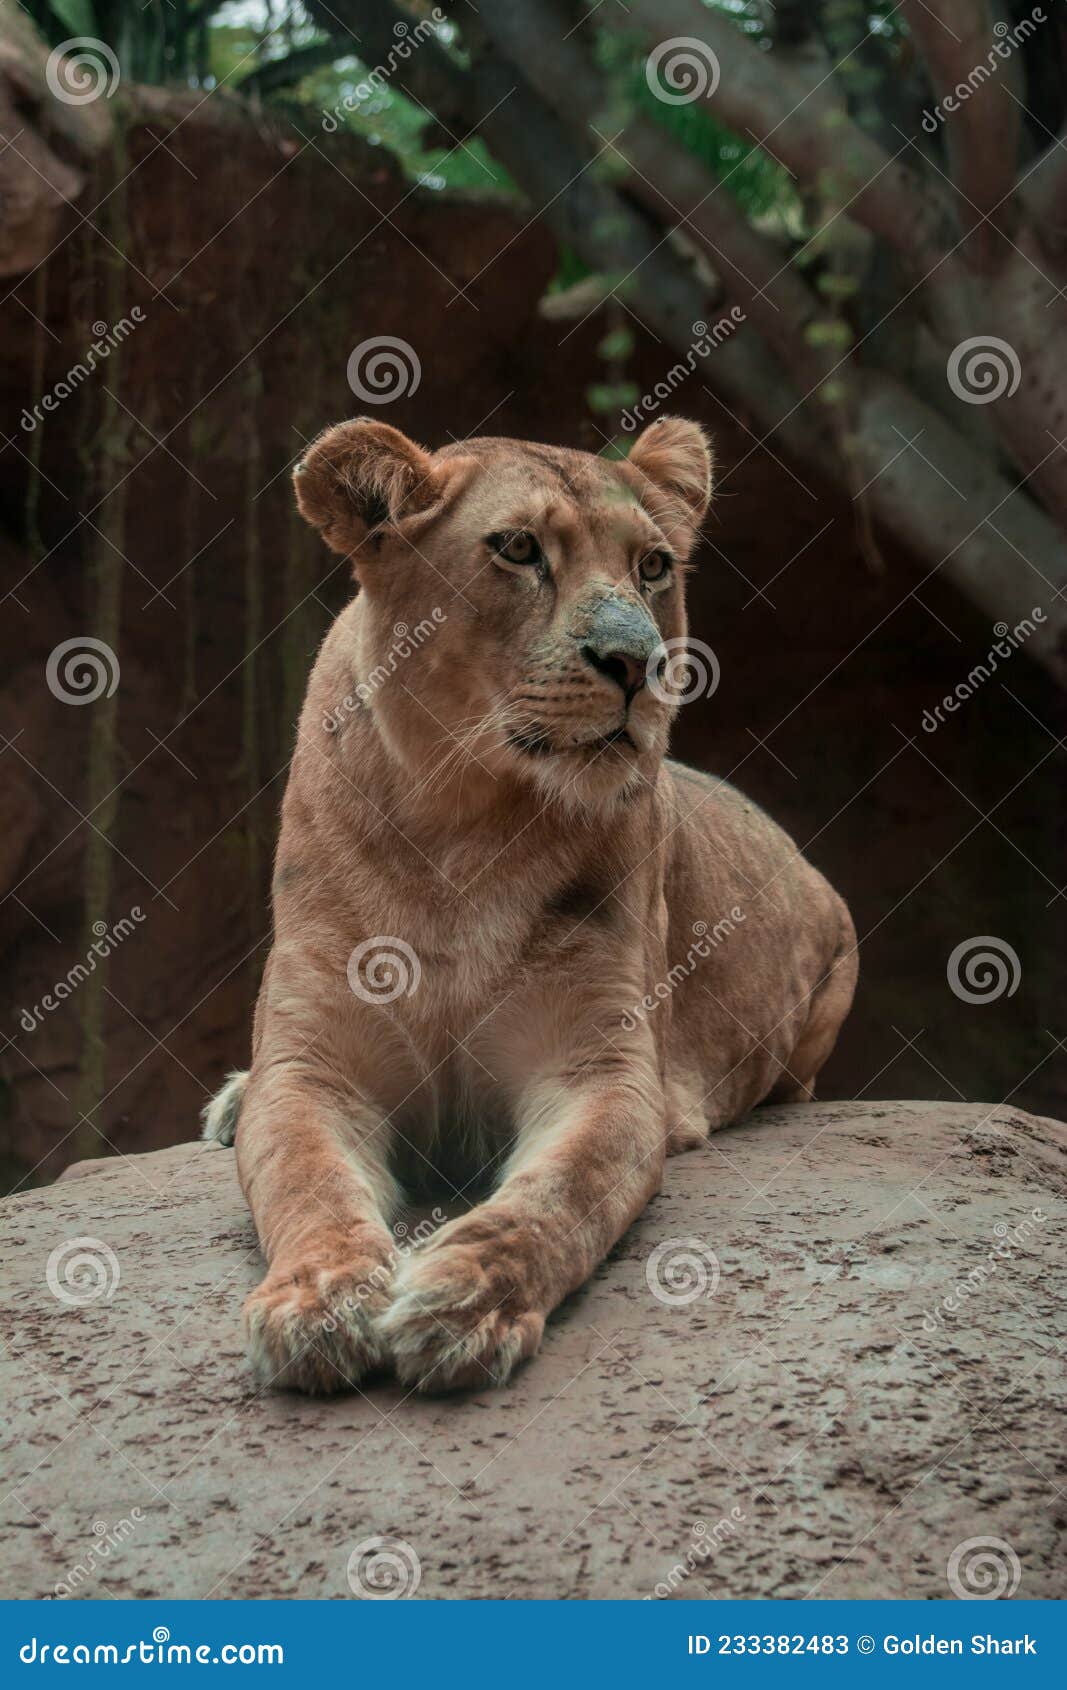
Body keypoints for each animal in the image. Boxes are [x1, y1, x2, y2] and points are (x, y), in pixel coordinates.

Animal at [201, 415, 857, 1395]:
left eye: (652, 566)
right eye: (517, 549)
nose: (638, 662)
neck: (463, 831)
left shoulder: (601, 1071)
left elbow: (560, 1197)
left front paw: (462, 1302)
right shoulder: (314, 1070)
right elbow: (307, 1183)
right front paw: (318, 1302)